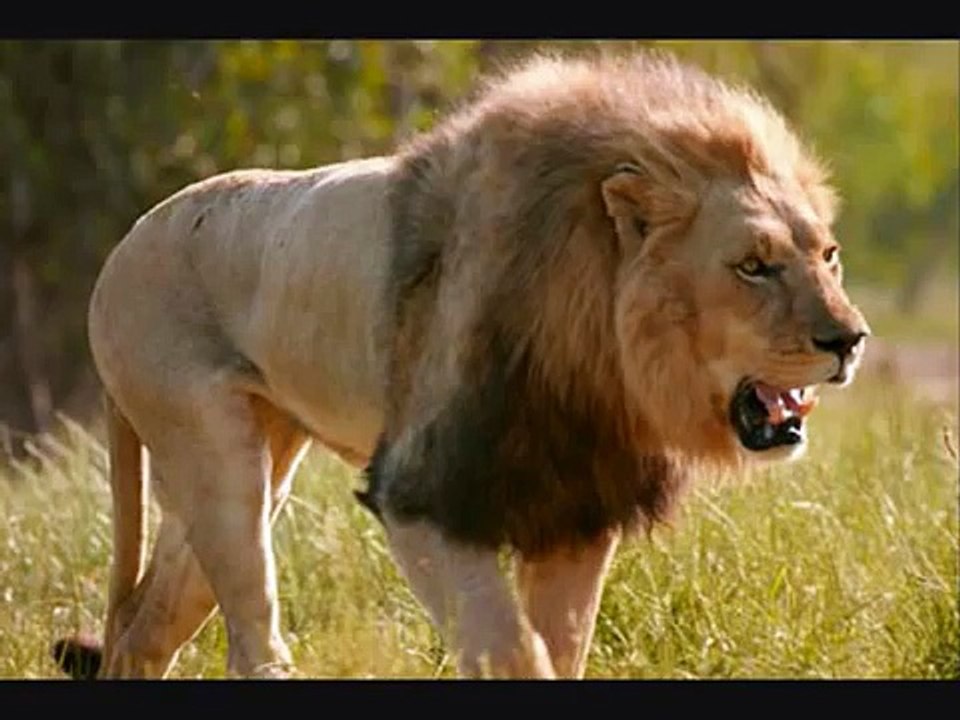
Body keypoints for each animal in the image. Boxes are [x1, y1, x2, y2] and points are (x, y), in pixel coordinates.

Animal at [53, 49, 869, 680]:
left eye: (829, 255)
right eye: (753, 266)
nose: (851, 339)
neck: (603, 365)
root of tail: (119, 250)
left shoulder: (573, 511)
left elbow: (558, 648)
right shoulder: (419, 496)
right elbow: (511, 649)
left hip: (255, 462)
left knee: (144, 628)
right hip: (217, 456)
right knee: (249, 635)